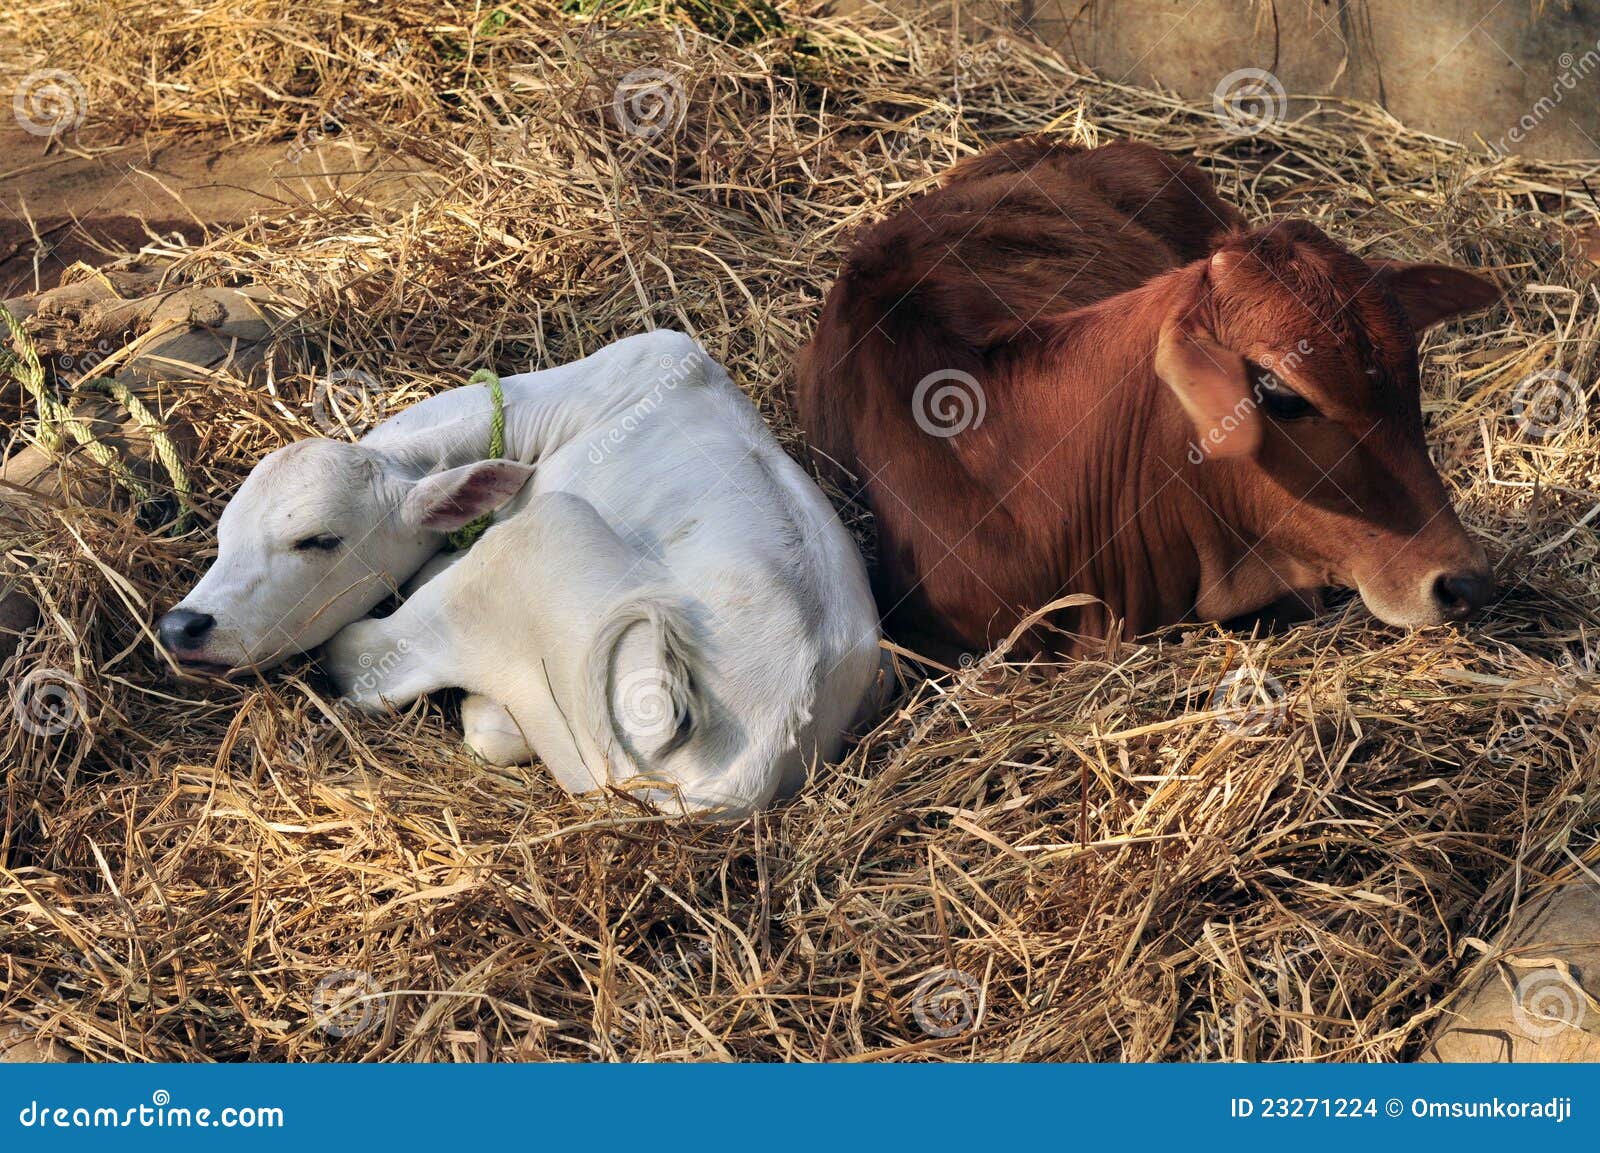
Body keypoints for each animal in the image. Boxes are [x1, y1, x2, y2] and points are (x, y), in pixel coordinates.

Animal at [157, 330, 882, 818]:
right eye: (224, 532)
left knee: (370, 658)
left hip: (535, 543)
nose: (182, 626)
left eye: (318, 540)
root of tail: (745, 766)